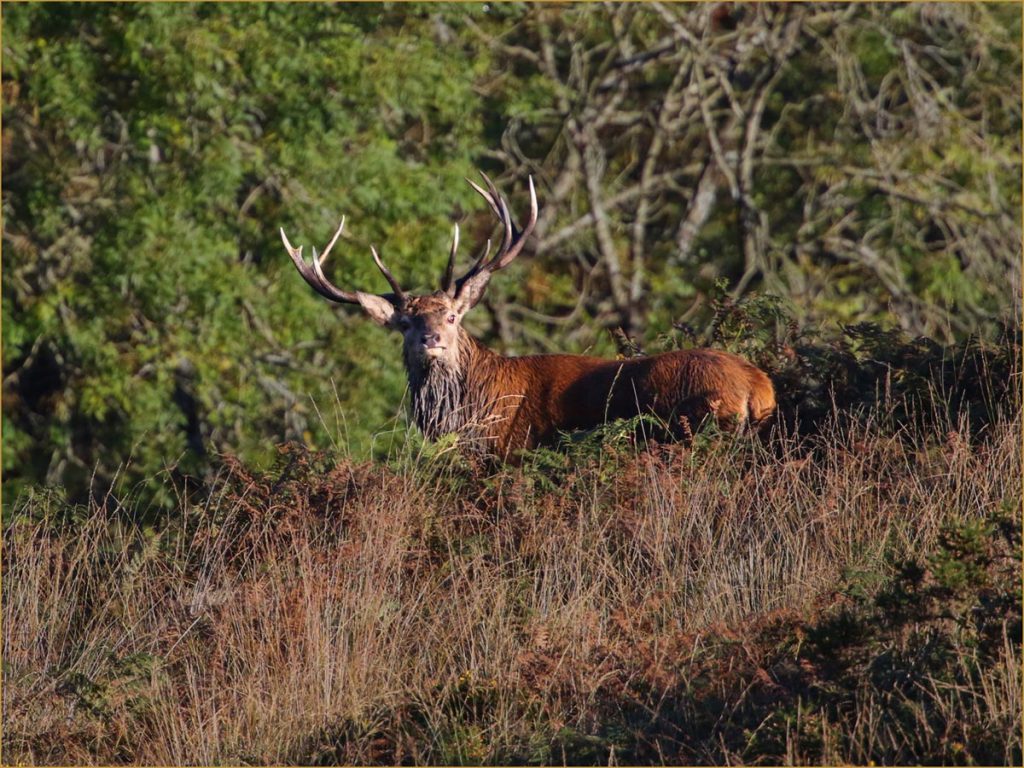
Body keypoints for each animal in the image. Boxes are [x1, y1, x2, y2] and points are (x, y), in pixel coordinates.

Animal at [280, 173, 776, 461]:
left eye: (453, 317)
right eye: (405, 323)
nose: (431, 339)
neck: (471, 415)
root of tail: (758, 388)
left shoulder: (507, 456)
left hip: (691, 429)